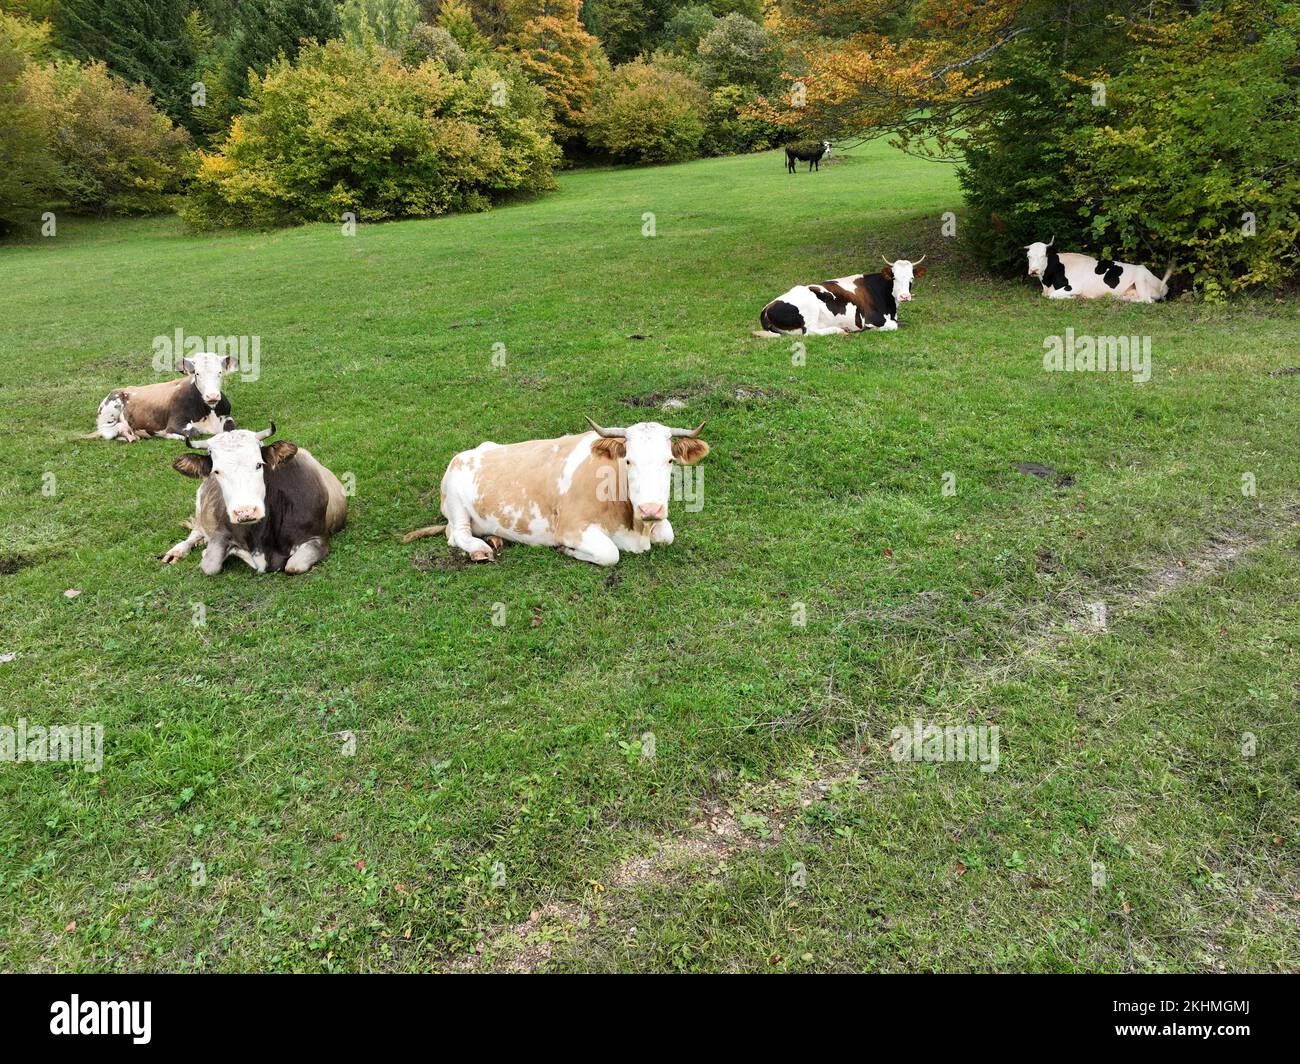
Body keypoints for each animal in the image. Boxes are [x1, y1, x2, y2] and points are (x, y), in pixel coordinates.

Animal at [88, 353, 235, 442]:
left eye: (220, 372)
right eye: (197, 373)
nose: (212, 396)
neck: (209, 411)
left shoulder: (226, 417)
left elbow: (231, 426)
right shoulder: (176, 423)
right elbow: (193, 433)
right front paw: (169, 435)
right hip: (110, 408)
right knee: (107, 431)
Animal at [161, 421, 347, 575]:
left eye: (259, 464)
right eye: (217, 471)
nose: (245, 512)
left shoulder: (317, 538)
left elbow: (294, 566)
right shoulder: (221, 533)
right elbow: (210, 566)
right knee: (195, 532)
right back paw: (177, 551)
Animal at [402, 418, 711, 567]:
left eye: (669, 461)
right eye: (628, 461)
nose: (651, 510)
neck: (636, 528)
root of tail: (466, 452)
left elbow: (668, 535)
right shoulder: (572, 527)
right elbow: (610, 553)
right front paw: (567, 551)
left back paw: (495, 538)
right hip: (454, 501)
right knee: (456, 535)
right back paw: (481, 549)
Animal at [753, 256, 926, 336]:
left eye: (911, 278)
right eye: (894, 278)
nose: (905, 296)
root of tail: (767, 307)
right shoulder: (872, 318)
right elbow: (892, 326)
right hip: (810, 308)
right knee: (810, 332)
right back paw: (840, 330)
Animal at [1025, 238, 1173, 303]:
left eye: (1043, 255)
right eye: (1028, 256)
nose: (1034, 270)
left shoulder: (1074, 287)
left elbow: (1052, 295)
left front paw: (1075, 297)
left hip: (1141, 279)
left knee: (1147, 300)